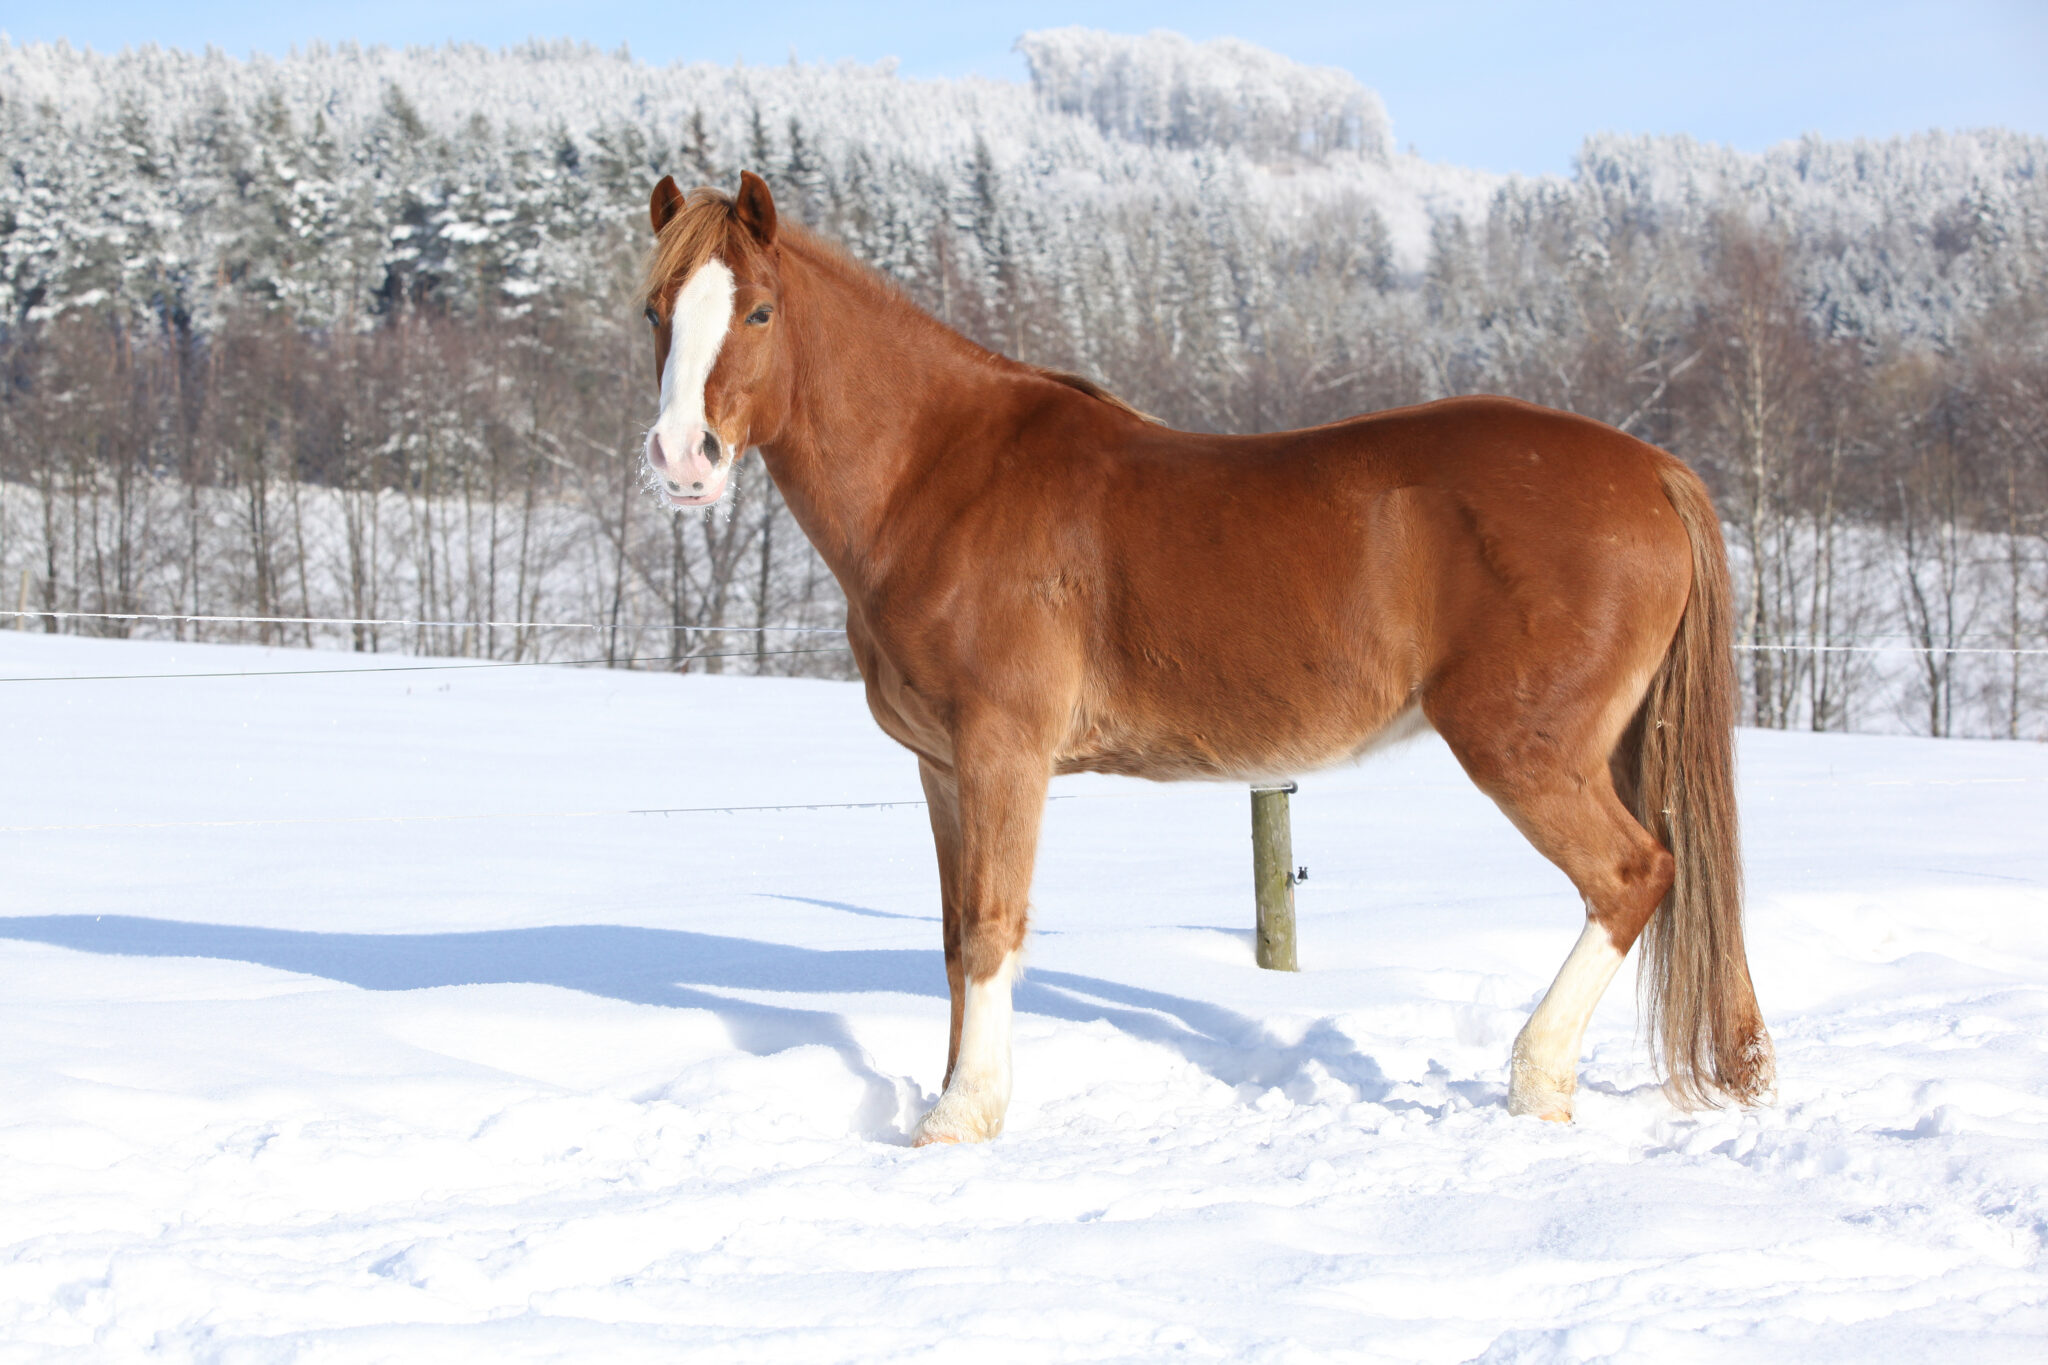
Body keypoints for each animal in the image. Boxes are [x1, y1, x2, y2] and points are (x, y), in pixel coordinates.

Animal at [637, 170, 1773, 1145]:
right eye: (655, 311)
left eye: (758, 313)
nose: (684, 460)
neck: (942, 475)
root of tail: (1651, 468)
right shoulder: (941, 767)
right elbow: (955, 936)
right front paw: (958, 1092)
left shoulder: (1004, 752)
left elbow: (993, 927)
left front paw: (960, 1117)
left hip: (1524, 749)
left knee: (1632, 875)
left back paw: (1535, 1081)